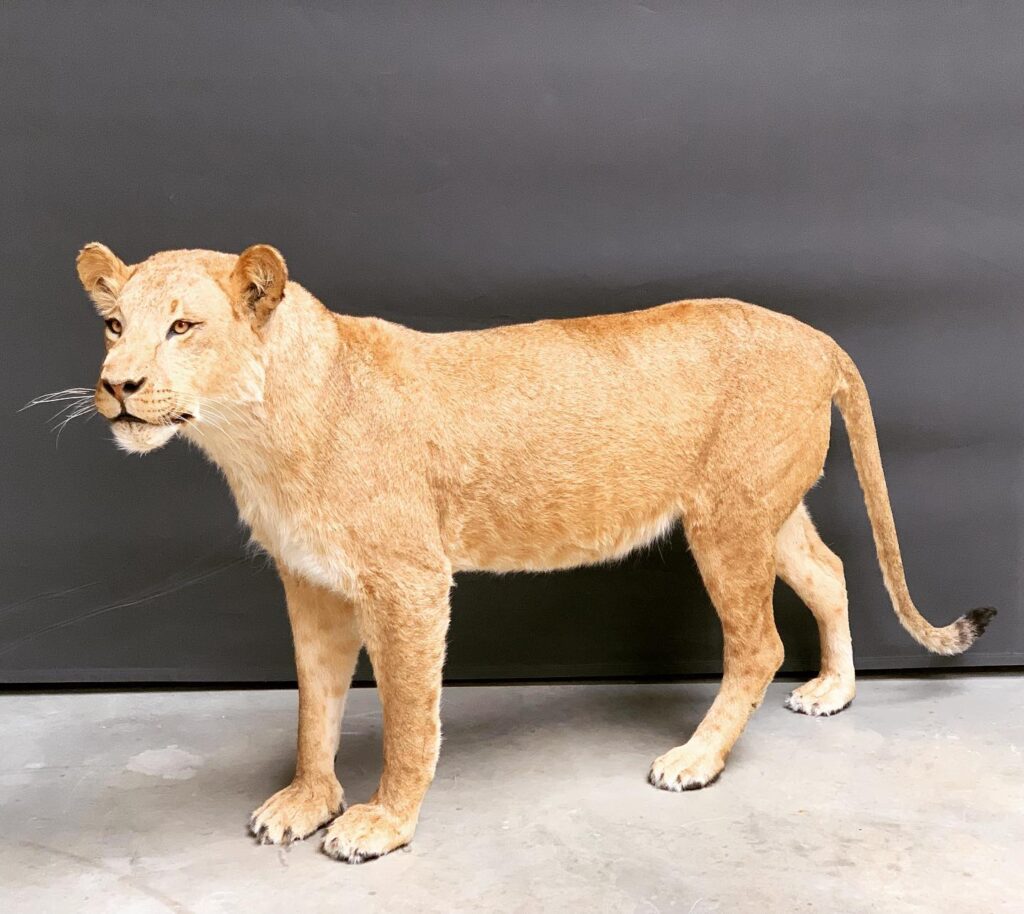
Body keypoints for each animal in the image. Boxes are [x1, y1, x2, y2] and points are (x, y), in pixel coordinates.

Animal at [74, 242, 995, 863]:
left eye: (183, 326)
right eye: (114, 325)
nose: (117, 386)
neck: (255, 434)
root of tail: (816, 337)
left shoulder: (409, 581)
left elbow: (408, 715)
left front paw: (382, 822)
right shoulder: (312, 581)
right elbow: (315, 705)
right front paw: (306, 801)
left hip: (726, 521)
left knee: (759, 644)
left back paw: (696, 759)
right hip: (763, 509)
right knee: (831, 572)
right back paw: (835, 689)